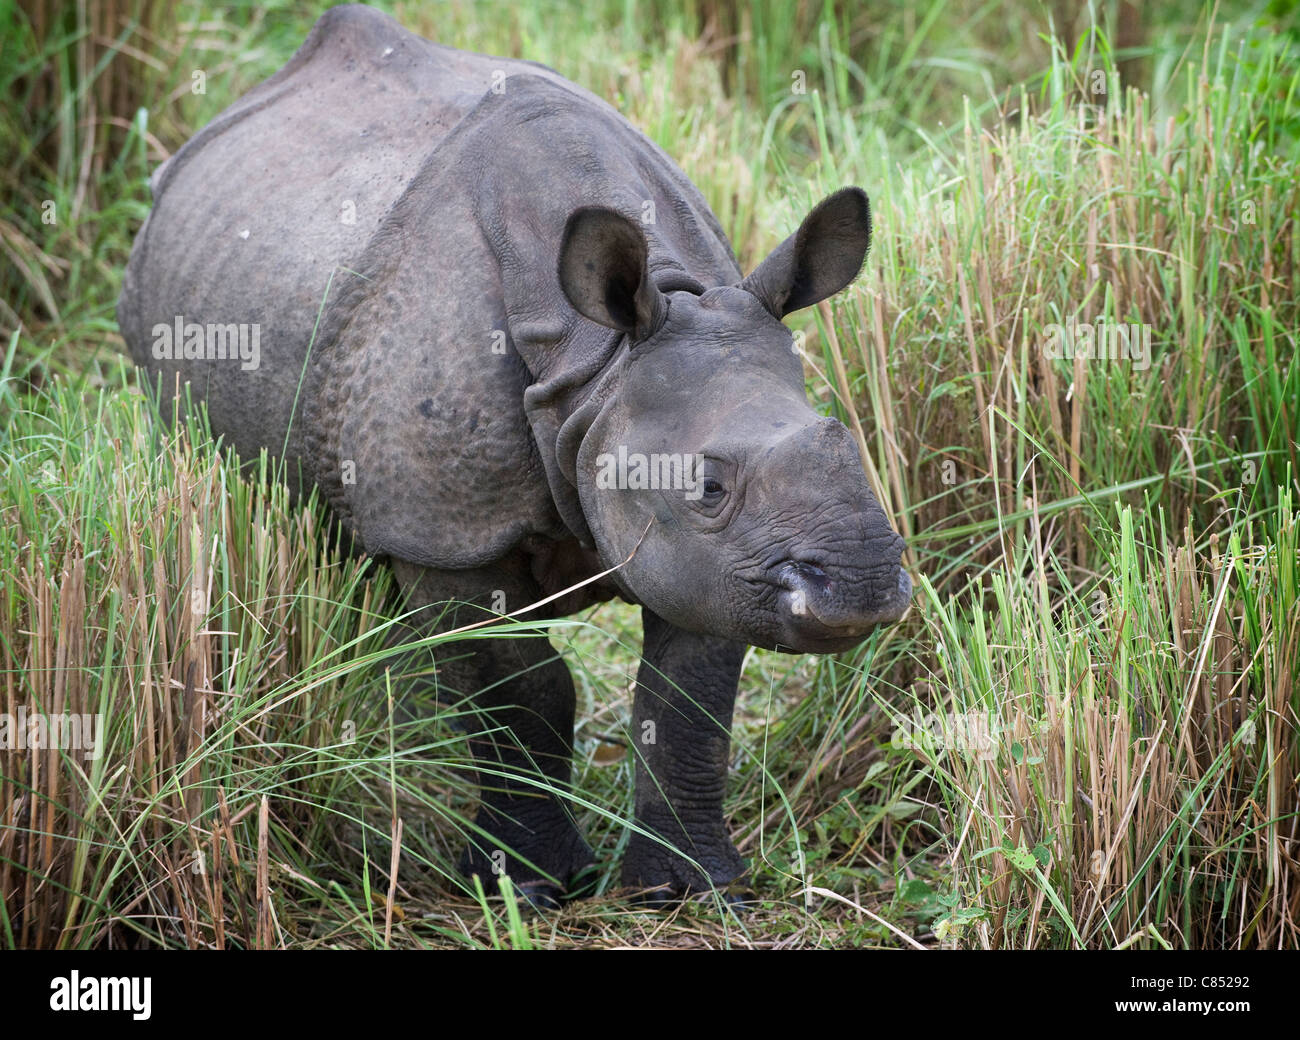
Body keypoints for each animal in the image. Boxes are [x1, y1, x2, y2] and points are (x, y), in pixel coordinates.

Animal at [117, 4, 911, 906]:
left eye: (848, 442)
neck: (595, 365)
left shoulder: (713, 564)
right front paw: (526, 885)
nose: (861, 587)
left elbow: (688, 700)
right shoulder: (452, 537)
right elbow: (526, 690)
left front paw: (691, 887)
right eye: (709, 486)